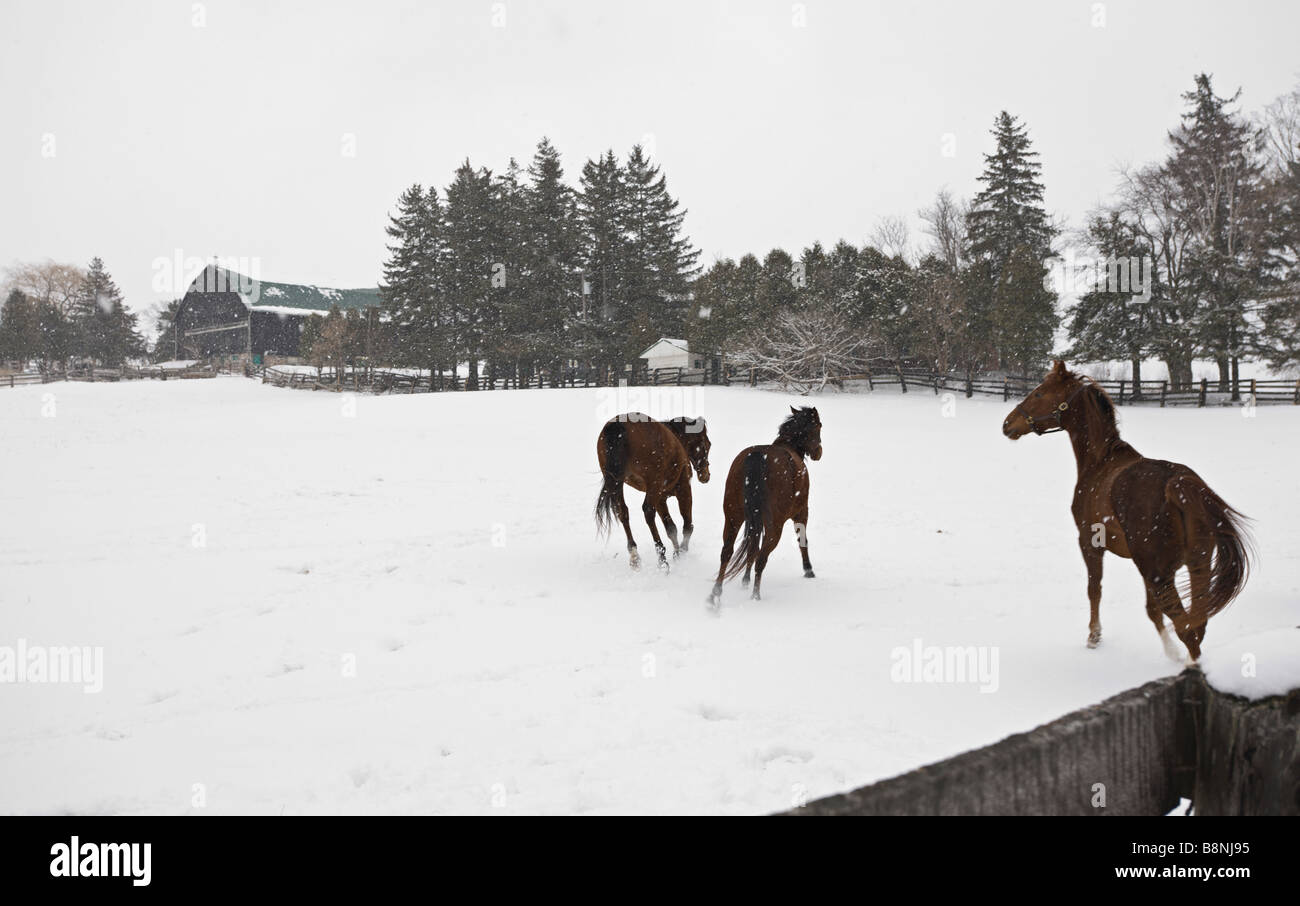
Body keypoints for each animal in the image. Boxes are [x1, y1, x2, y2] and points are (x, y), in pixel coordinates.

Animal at [594, 412, 712, 569]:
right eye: (707, 444)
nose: (705, 475)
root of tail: (618, 426)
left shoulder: (660, 497)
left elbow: (671, 528)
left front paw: (677, 553)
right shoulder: (684, 490)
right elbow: (687, 526)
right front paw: (681, 551)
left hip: (619, 484)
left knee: (623, 512)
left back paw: (635, 557)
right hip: (653, 484)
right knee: (648, 511)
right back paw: (662, 558)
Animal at [708, 406, 823, 607]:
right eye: (818, 427)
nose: (818, 452)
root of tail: (758, 457)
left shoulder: (754, 520)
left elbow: (751, 547)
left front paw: (745, 579)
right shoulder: (802, 512)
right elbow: (803, 540)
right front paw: (808, 570)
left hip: (733, 517)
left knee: (727, 552)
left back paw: (716, 591)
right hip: (775, 526)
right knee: (762, 557)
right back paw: (756, 595)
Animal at [1002, 361, 1251, 661]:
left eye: (1039, 392)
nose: (1007, 424)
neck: (1101, 460)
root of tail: (1178, 485)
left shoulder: (1090, 544)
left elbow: (1094, 589)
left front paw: (1094, 636)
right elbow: (1152, 612)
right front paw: (1170, 653)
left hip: (1160, 574)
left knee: (1187, 629)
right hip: (1196, 565)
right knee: (1195, 625)